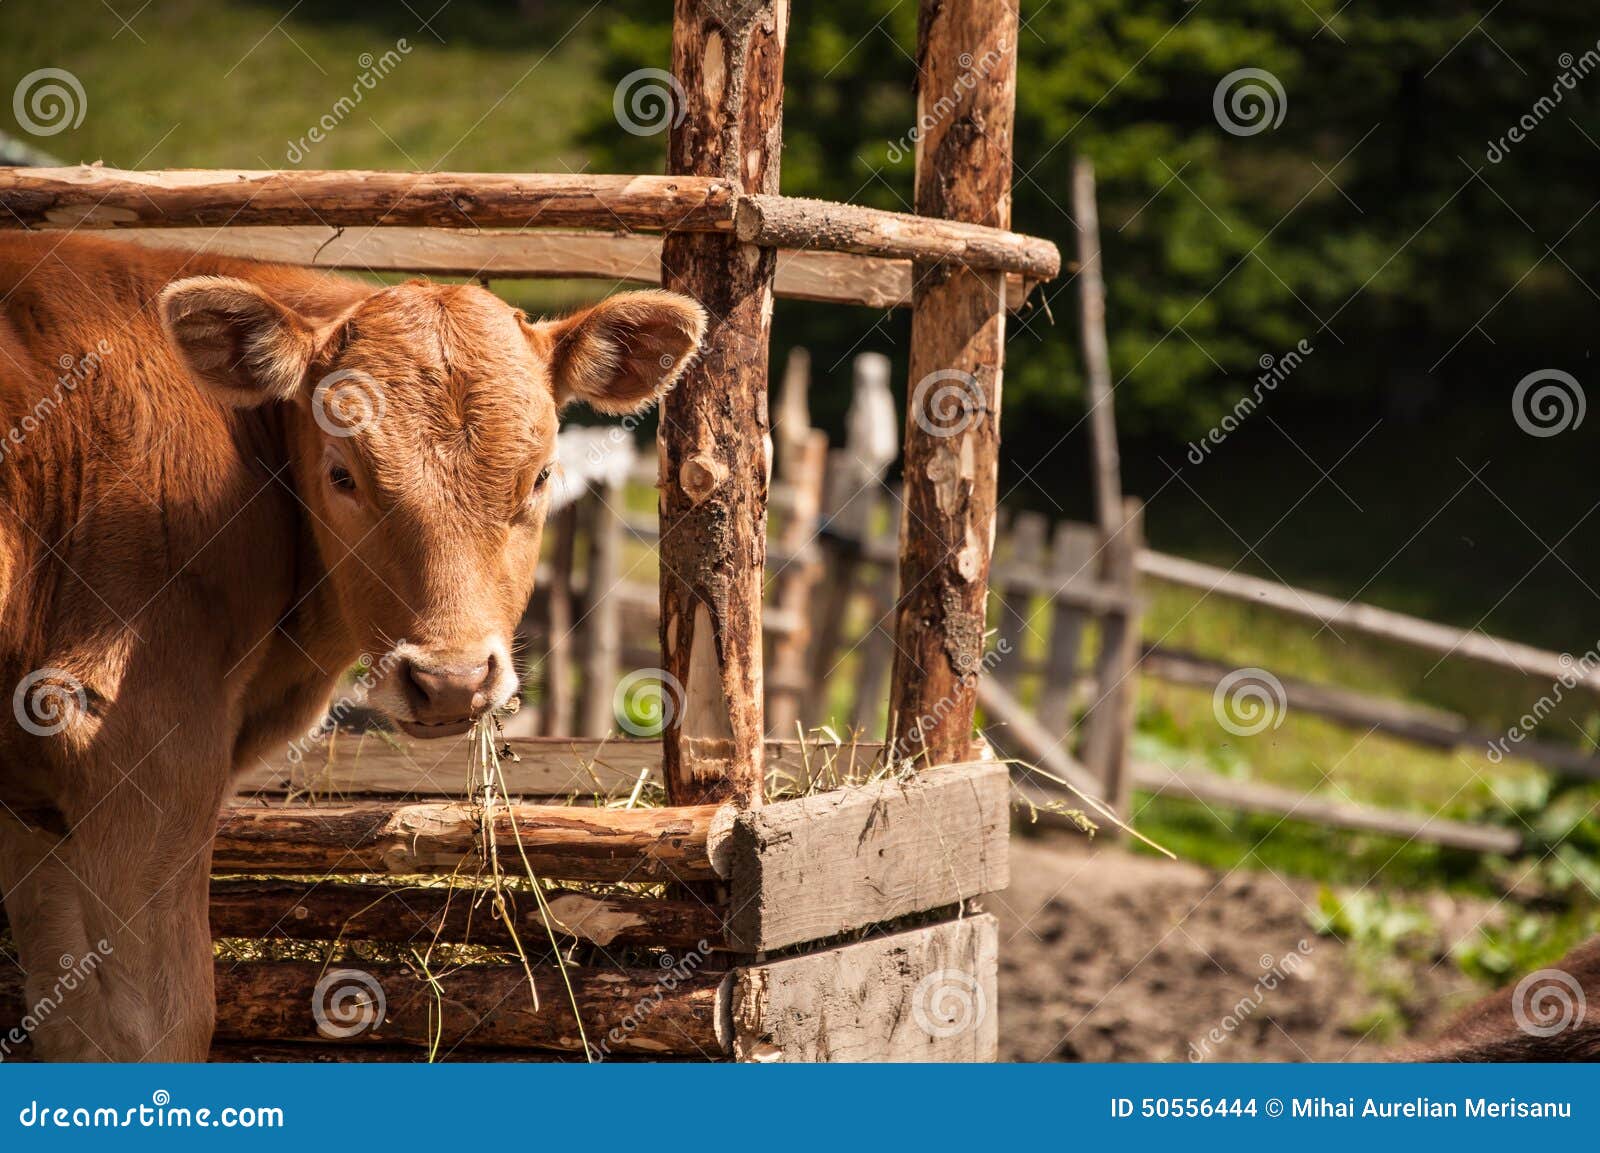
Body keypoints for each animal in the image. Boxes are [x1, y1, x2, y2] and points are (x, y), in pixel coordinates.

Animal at [0, 232, 706, 1061]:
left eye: (538, 478)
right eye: (343, 474)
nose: (452, 679)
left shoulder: (36, 805)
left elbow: (66, 1017)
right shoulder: (134, 744)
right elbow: (155, 1023)